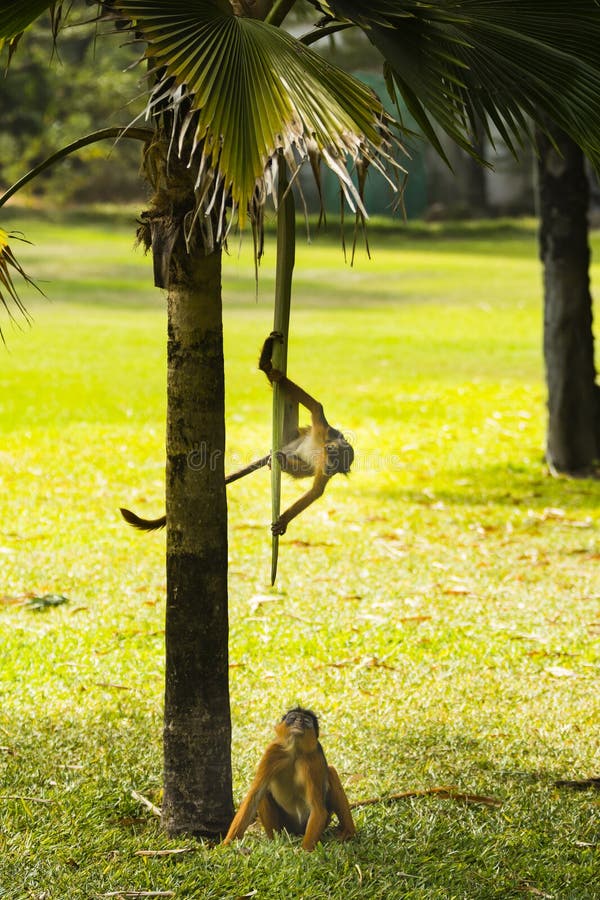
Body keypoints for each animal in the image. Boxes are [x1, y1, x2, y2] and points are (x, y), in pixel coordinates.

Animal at [120, 334, 354, 536]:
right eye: (334, 461)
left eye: (338, 469)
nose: (331, 469)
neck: (322, 450)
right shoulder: (323, 430)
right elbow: (316, 406)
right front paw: (268, 367)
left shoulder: (322, 465)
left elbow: (316, 491)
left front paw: (285, 519)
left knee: (298, 466)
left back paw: (280, 460)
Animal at [222, 707, 356, 852]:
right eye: (293, 718)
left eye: (306, 721)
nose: (299, 722)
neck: (295, 751)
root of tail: (296, 832)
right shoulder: (273, 751)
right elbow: (254, 797)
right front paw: (226, 844)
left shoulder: (313, 758)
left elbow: (318, 809)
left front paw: (305, 852)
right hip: (285, 825)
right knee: (264, 794)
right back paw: (275, 840)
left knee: (331, 772)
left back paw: (349, 832)